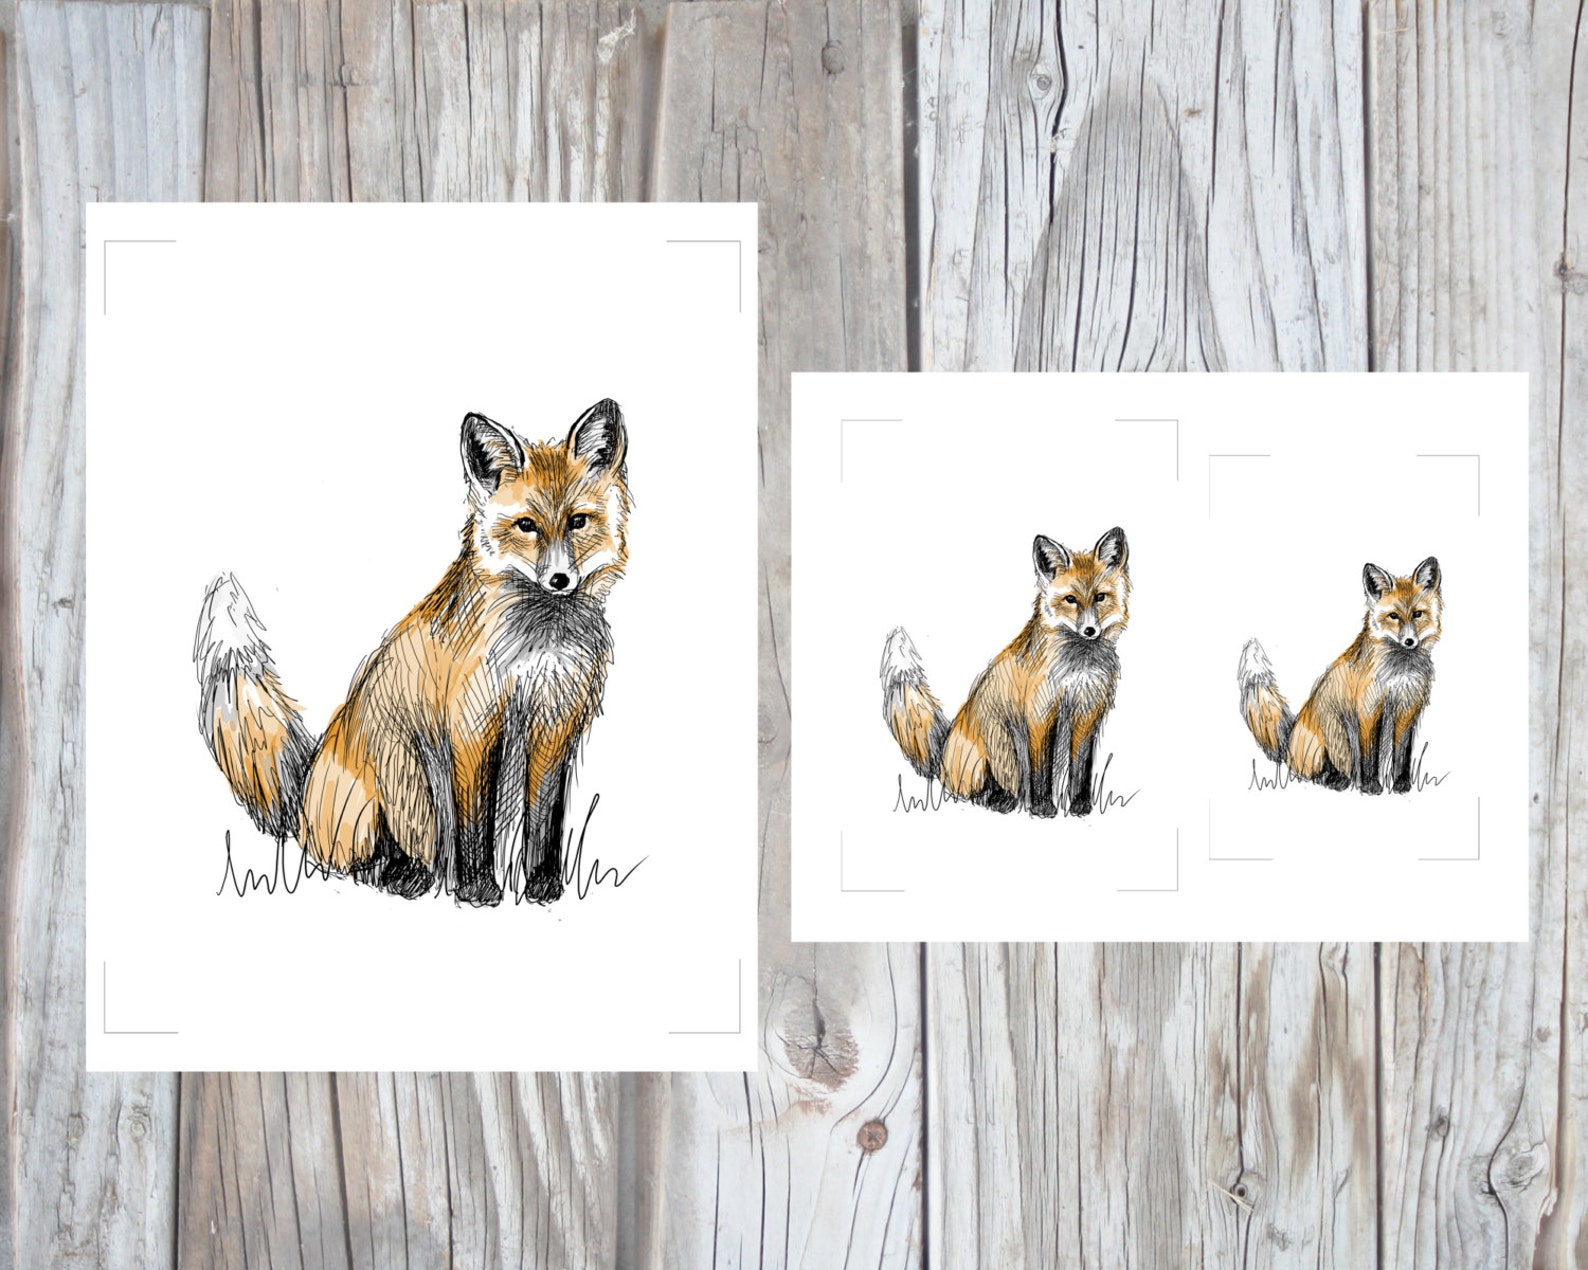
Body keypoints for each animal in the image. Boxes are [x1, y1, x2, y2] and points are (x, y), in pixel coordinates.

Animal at [193, 399, 631, 906]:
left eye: (578, 521)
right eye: (526, 525)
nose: (560, 579)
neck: (538, 643)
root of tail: (303, 798)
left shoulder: (555, 725)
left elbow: (545, 820)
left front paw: (544, 888)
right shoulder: (472, 728)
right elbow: (474, 824)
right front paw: (478, 890)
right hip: (405, 792)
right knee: (359, 863)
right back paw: (404, 876)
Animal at [880, 528, 1130, 817]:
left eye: (1100, 597)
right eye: (1071, 599)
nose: (1090, 630)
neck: (1078, 667)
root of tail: (943, 753)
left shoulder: (1087, 714)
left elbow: (1081, 767)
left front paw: (1080, 806)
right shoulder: (1039, 715)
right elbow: (1040, 770)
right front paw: (1043, 808)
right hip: (999, 752)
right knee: (973, 791)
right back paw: (1000, 800)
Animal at [1238, 557, 1442, 793]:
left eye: (1418, 614)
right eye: (1393, 616)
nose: (1409, 641)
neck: (1399, 672)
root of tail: (1289, 741)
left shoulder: (1407, 710)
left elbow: (1402, 754)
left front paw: (1401, 785)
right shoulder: (1368, 711)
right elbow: (1369, 756)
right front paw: (1371, 787)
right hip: (1335, 741)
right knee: (1312, 773)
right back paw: (1336, 780)